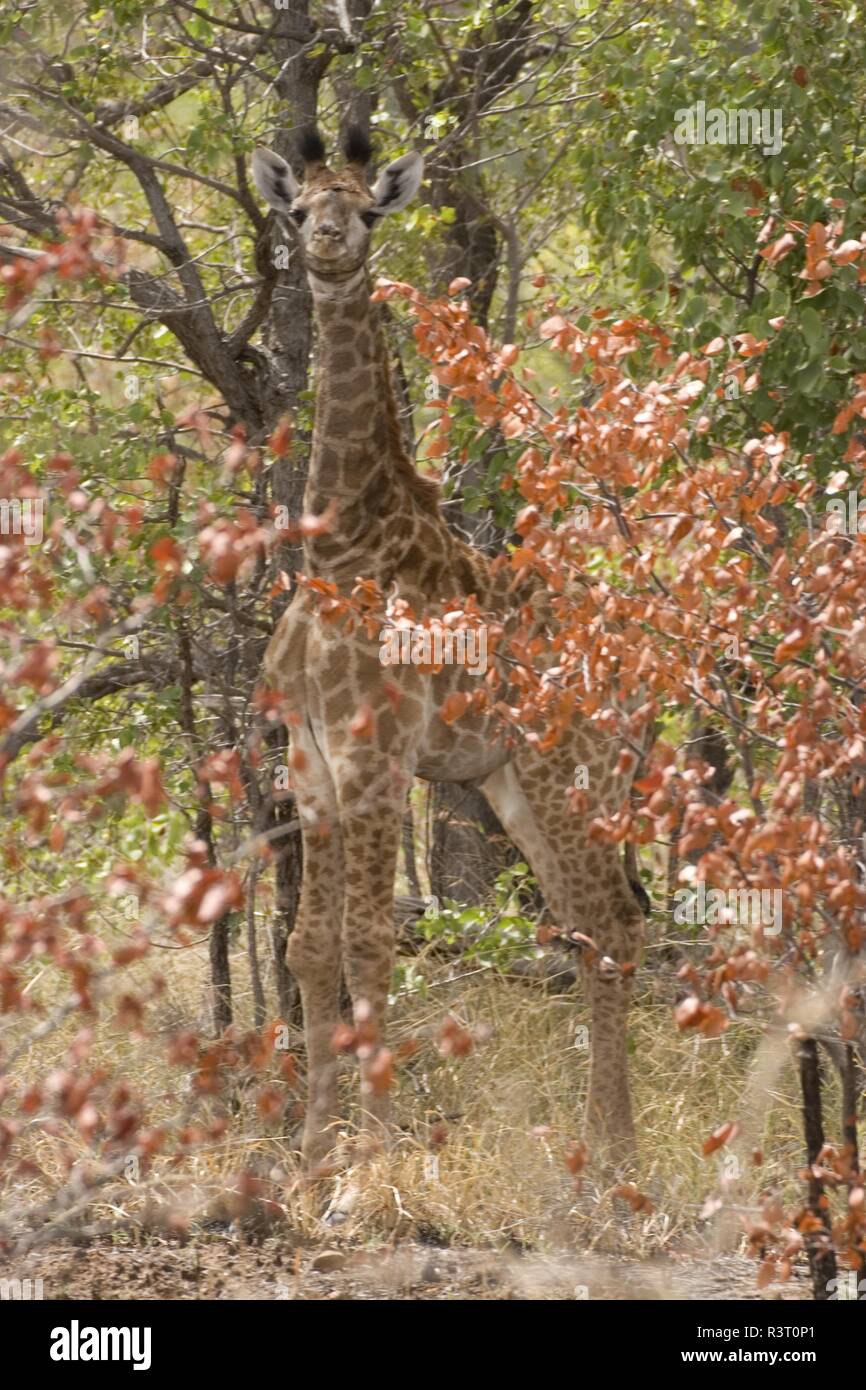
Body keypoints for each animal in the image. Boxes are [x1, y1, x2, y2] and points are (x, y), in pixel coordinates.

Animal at [252, 127, 645, 1174]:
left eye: (366, 208)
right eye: (299, 208)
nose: (329, 245)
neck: (342, 550)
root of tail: (629, 673)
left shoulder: (378, 756)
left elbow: (369, 942)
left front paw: (374, 1154)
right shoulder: (309, 757)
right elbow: (309, 947)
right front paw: (313, 1153)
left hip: (568, 768)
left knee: (614, 920)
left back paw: (616, 1157)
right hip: (510, 780)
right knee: (592, 924)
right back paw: (600, 1149)